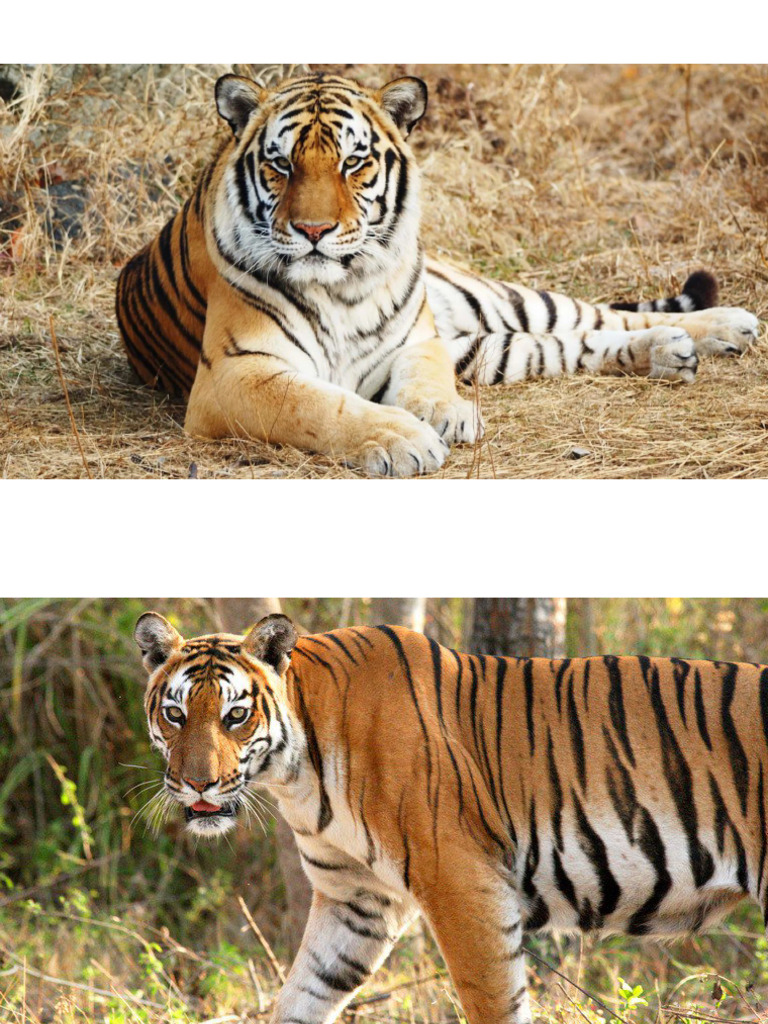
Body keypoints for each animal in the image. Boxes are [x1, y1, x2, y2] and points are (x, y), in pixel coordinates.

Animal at [115, 70, 760, 477]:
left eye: (353, 162)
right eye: (281, 164)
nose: (314, 231)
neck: (341, 288)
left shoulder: (418, 339)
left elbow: (424, 379)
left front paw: (442, 413)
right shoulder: (234, 375)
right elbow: (316, 404)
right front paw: (402, 436)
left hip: (497, 303)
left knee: (593, 316)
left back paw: (726, 327)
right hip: (487, 347)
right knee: (571, 344)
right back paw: (670, 353)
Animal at [135, 611, 768, 1024]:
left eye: (236, 716)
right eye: (175, 714)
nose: (198, 783)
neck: (297, 775)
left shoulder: (463, 883)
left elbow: (493, 1003)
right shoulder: (355, 900)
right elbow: (303, 994)